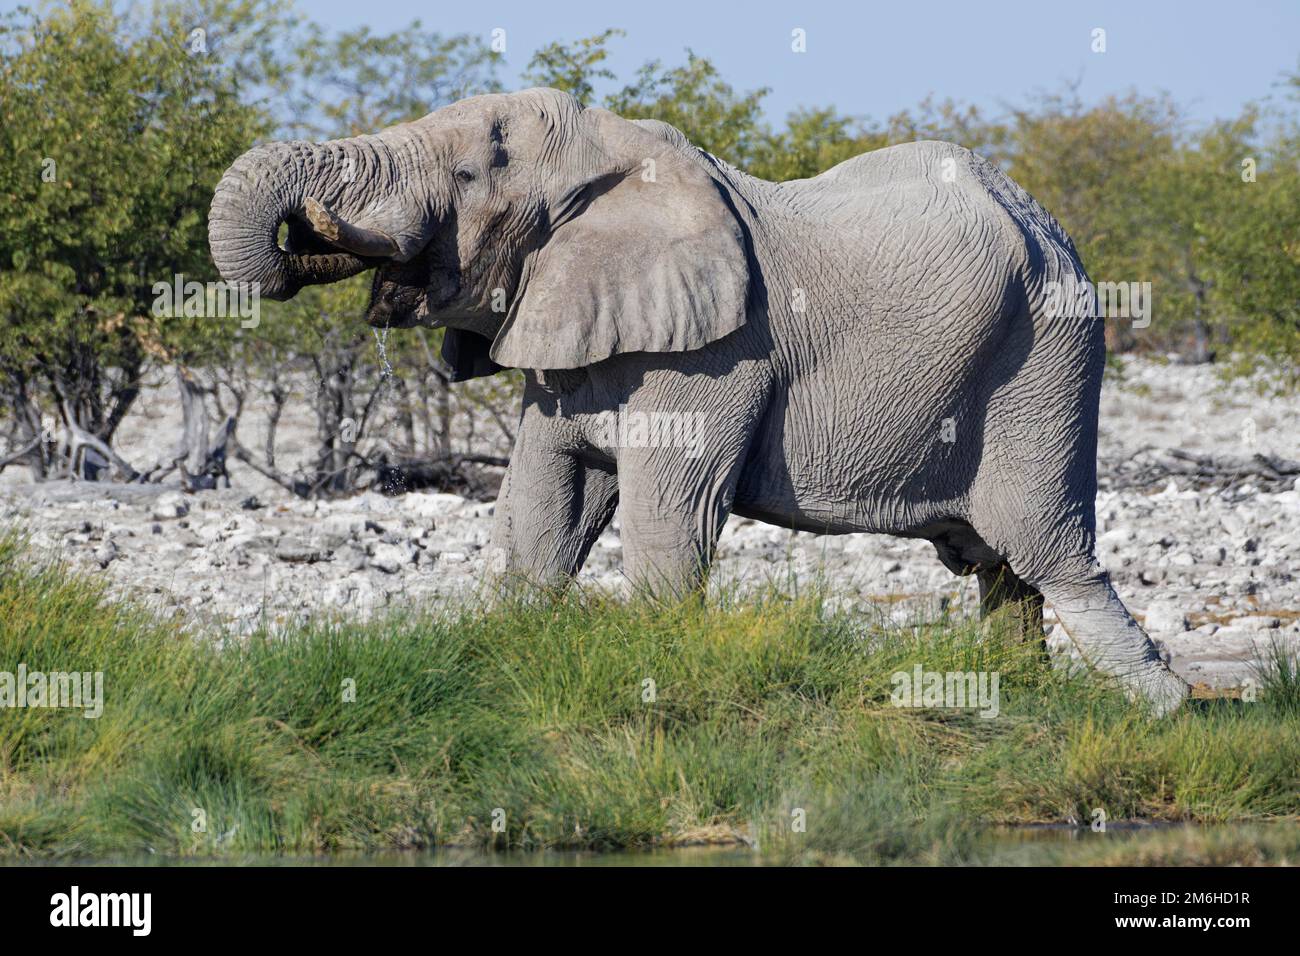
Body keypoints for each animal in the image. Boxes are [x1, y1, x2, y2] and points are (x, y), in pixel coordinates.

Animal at [209, 87, 1190, 715]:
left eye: (469, 176)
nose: (307, 236)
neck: (616, 150)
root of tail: (1049, 223)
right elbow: (541, 502)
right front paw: (504, 651)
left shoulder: (717, 355)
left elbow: (665, 512)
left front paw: (653, 678)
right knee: (1002, 566)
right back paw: (1017, 695)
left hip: (1048, 359)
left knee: (1047, 547)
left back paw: (1166, 708)